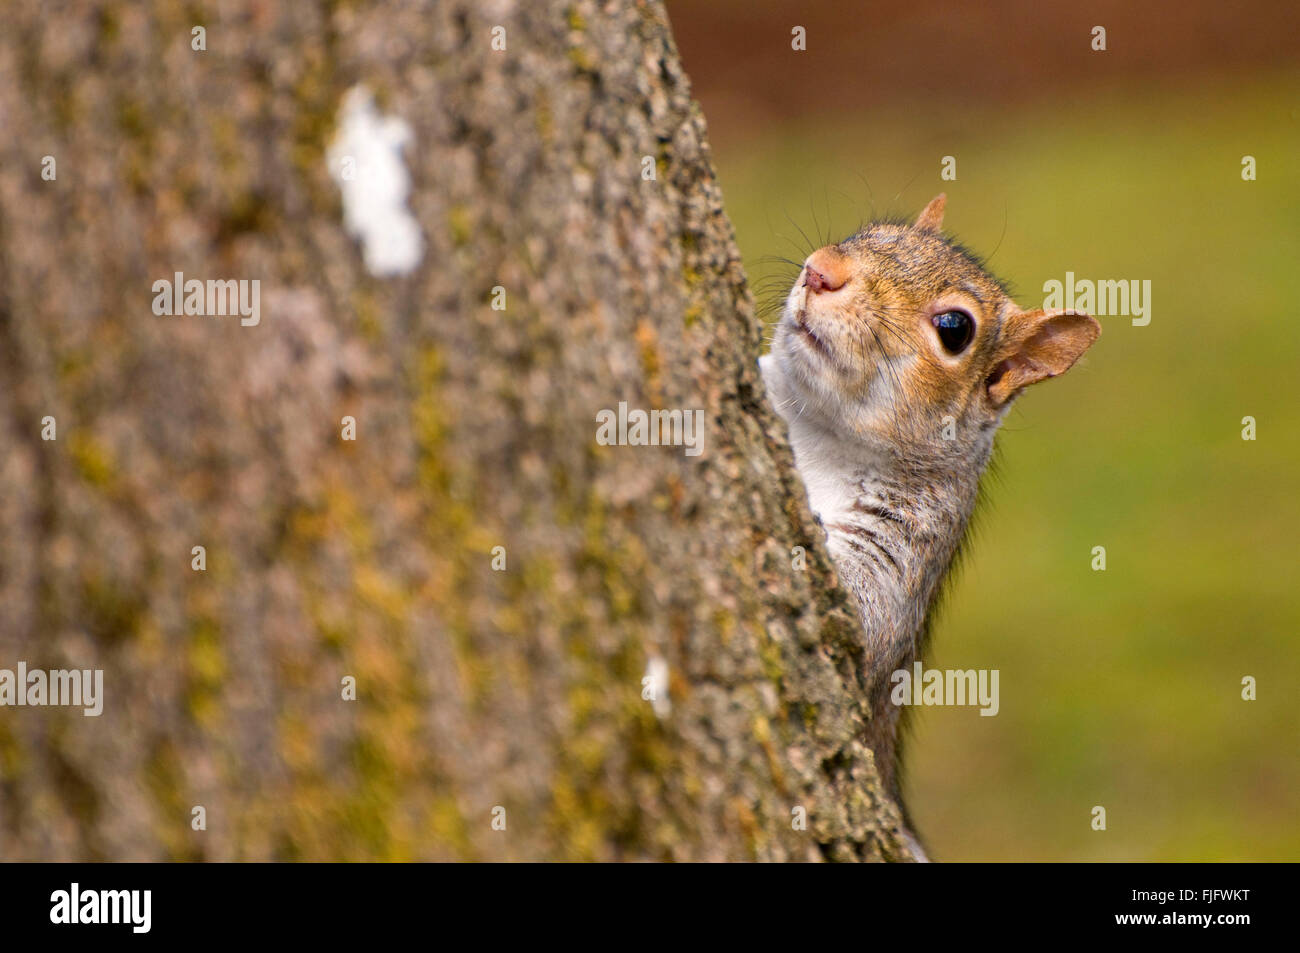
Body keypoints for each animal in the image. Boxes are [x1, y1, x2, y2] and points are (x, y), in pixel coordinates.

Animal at [760, 194, 1099, 859]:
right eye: (871, 230)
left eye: (955, 329)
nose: (821, 271)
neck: (816, 432)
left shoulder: (905, 550)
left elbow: (860, 616)